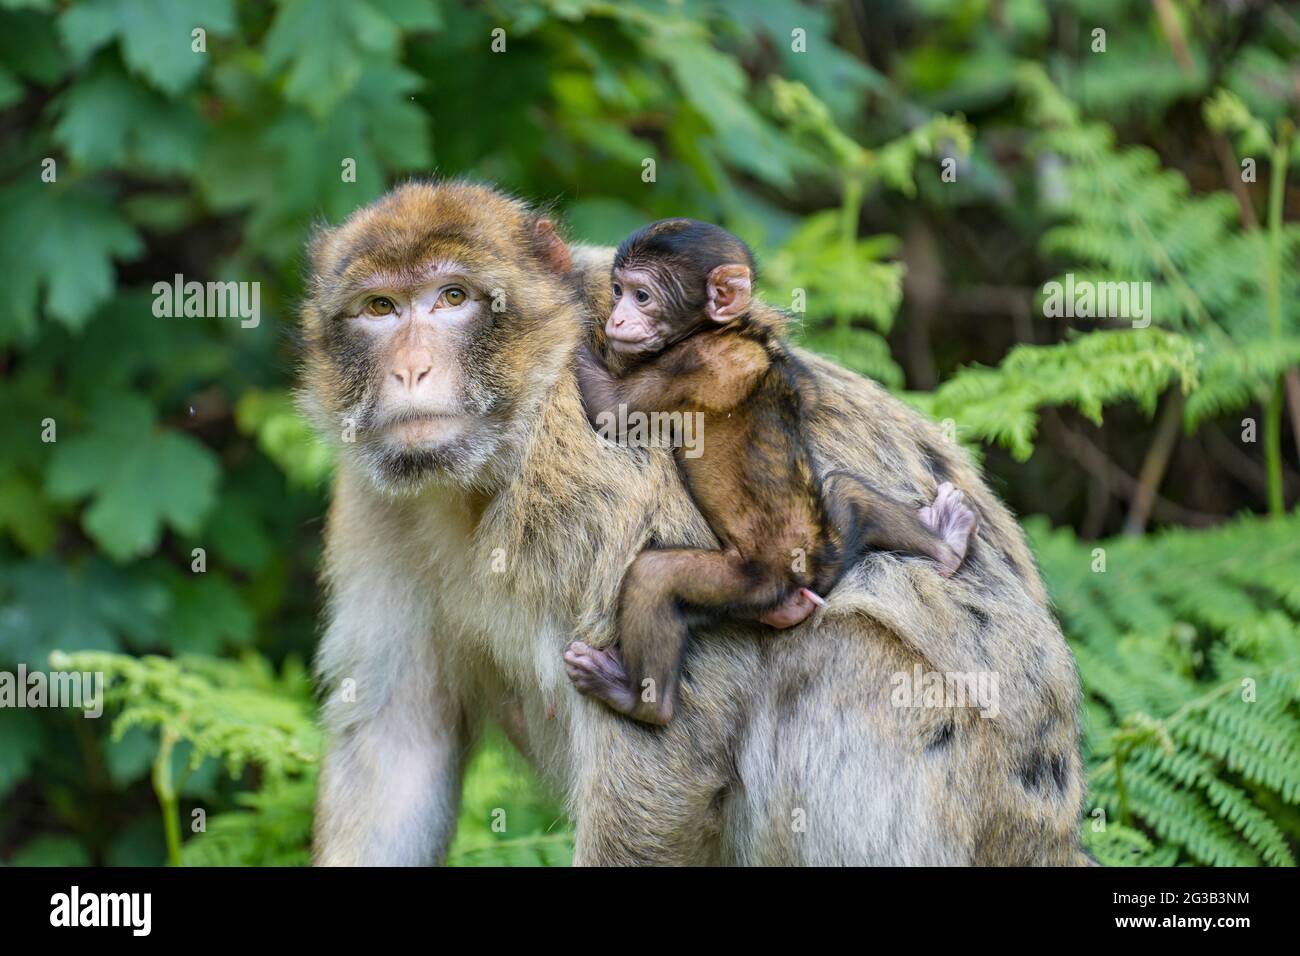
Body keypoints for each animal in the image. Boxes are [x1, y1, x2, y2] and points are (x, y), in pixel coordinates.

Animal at [563, 219, 977, 726]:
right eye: (618, 290)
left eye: (641, 296)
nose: (616, 320)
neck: (728, 329)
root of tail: (805, 582)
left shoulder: (693, 361)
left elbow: (611, 412)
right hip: (827, 547)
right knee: (847, 492)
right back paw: (946, 543)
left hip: (752, 580)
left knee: (655, 577)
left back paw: (640, 701)